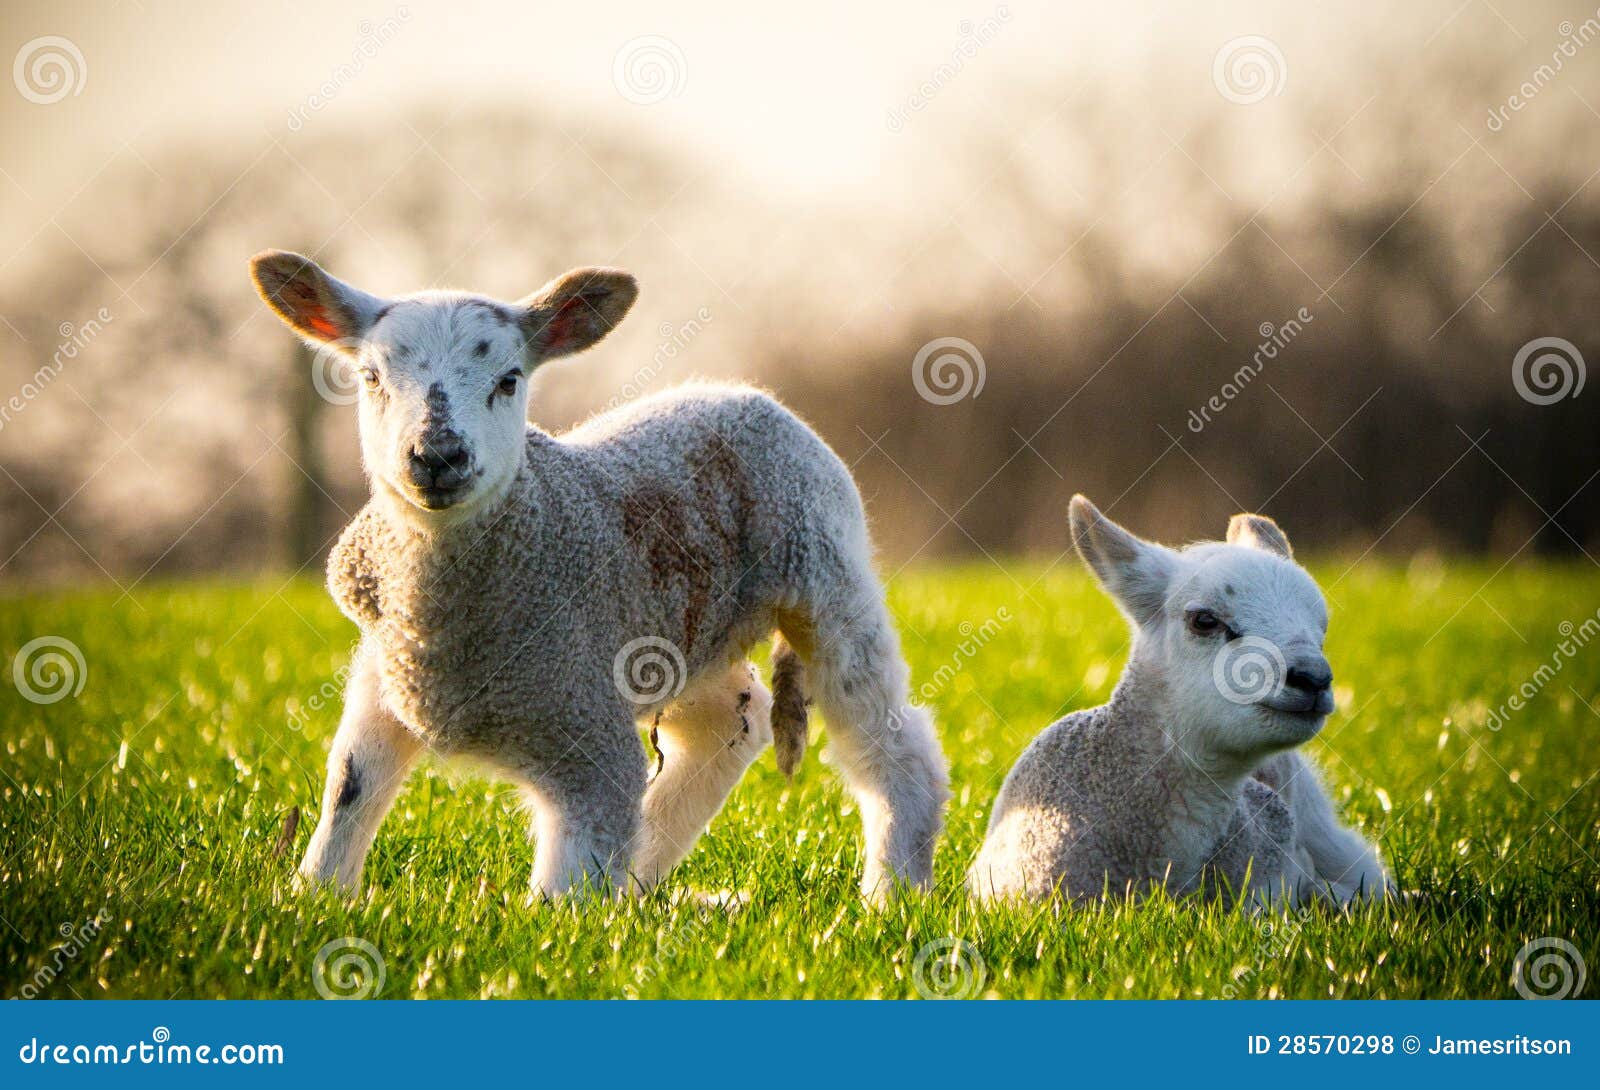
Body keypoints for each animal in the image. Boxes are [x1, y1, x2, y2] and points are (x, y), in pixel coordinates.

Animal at [248, 250, 948, 901]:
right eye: (370, 377)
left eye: (509, 380)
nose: (438, 456)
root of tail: (742, 394)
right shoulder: (387, 669)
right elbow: (349, 785)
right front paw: (313, 895)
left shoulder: (584, 730)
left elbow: (574, 876)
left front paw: (554, 928)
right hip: (679, 634)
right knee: (734, 720)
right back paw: (645, 876)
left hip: (826, 572)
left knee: (889, 740)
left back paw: (891, 892)